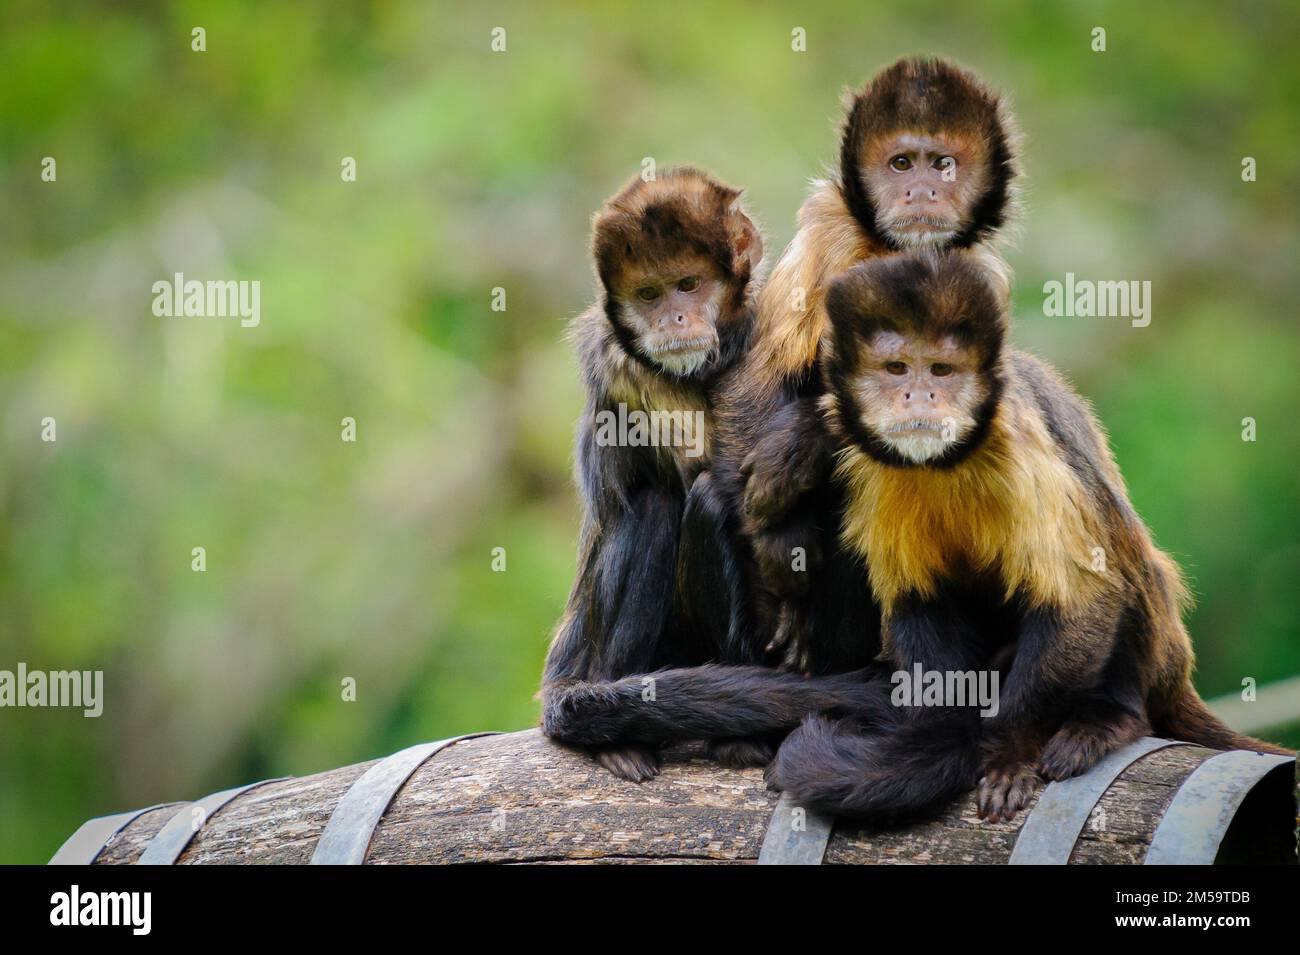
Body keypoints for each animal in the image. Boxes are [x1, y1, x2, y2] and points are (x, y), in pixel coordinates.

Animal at [545, 249, 1289, 821]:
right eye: (897, 371)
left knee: (1124, 555)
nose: (920, 398)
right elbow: (920, 602)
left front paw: (1005, 749)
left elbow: (1085, 597)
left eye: (942, 372)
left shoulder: (1016, 443)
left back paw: (1111, 716)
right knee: (673, 501)